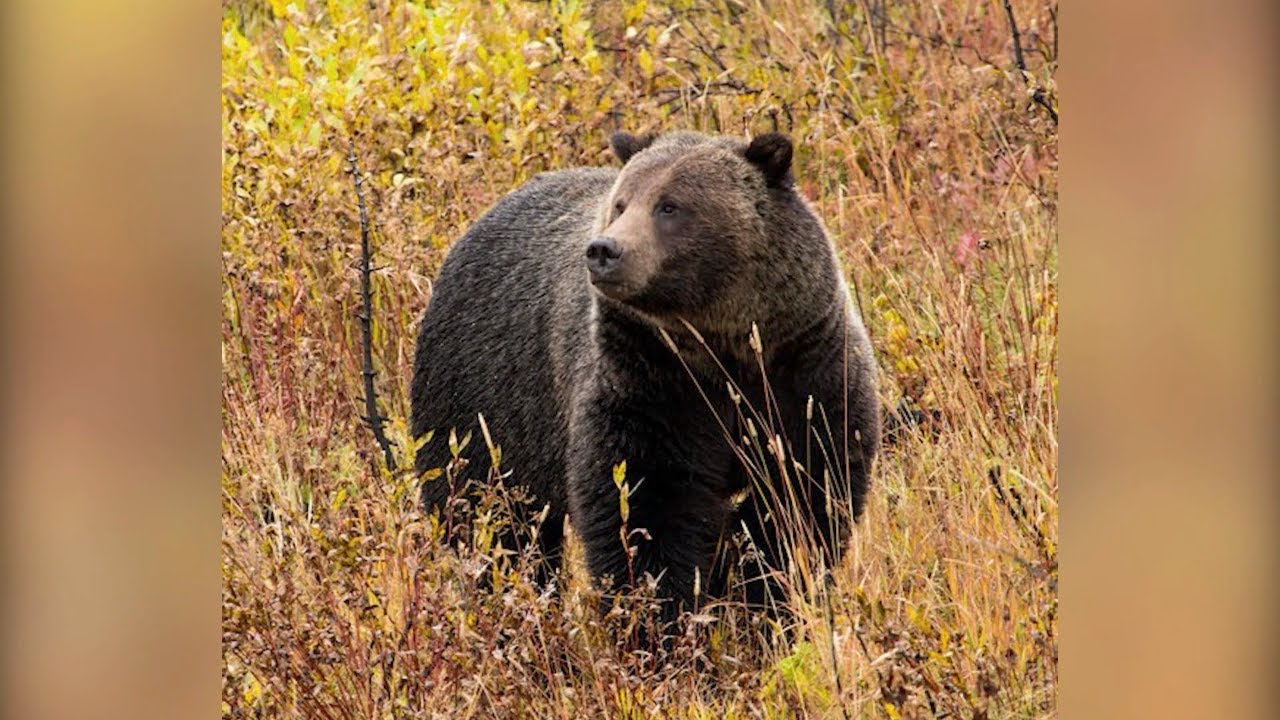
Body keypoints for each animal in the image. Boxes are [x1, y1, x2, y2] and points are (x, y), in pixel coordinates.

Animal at [410, 130, 880, 625]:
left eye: (669, 206)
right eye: (621, 203)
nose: (604, 250)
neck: (725, 351)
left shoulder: (805, 371)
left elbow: (803, 497)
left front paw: (762, 599)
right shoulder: (648, 382)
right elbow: (644, 505)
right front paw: (660, 614)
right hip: (484, 401)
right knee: (493, 518)